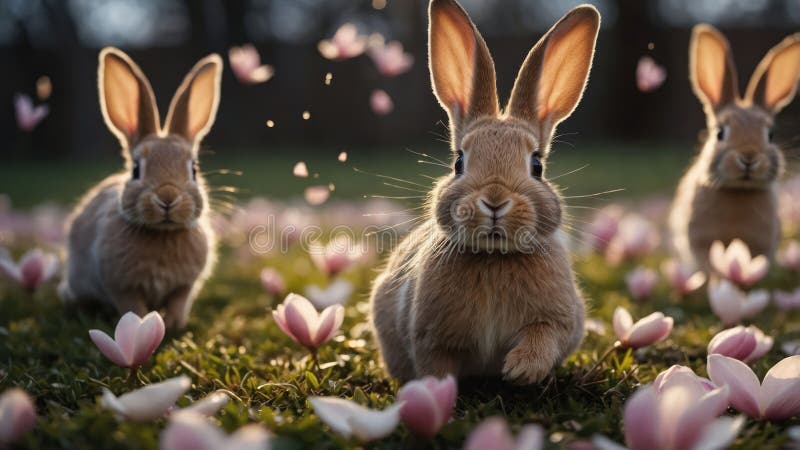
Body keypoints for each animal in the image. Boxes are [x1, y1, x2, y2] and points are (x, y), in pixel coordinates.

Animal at [59, 47, 222, 329]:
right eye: (136, 169)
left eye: (194, 169)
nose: (167, 197)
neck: (162, 234)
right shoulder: (121, 286)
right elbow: (133, 307)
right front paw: (142, 325)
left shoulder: (185, 286)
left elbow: (179, 302)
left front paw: (173, 324)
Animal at [369, 0, 600, 384]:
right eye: (459, 162)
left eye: (537, 166)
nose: (494, 201)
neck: (494, 258)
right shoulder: (430, 338)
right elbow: (436, 366)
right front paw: (436, 392)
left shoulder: (557, 320)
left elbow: (545, 336)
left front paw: (521, 369)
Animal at [670, 25, 800, 270]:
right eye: (720, 133)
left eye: (770, 135)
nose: (748, 157)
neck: (739, 190)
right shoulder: (702, 244)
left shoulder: (759, 248)